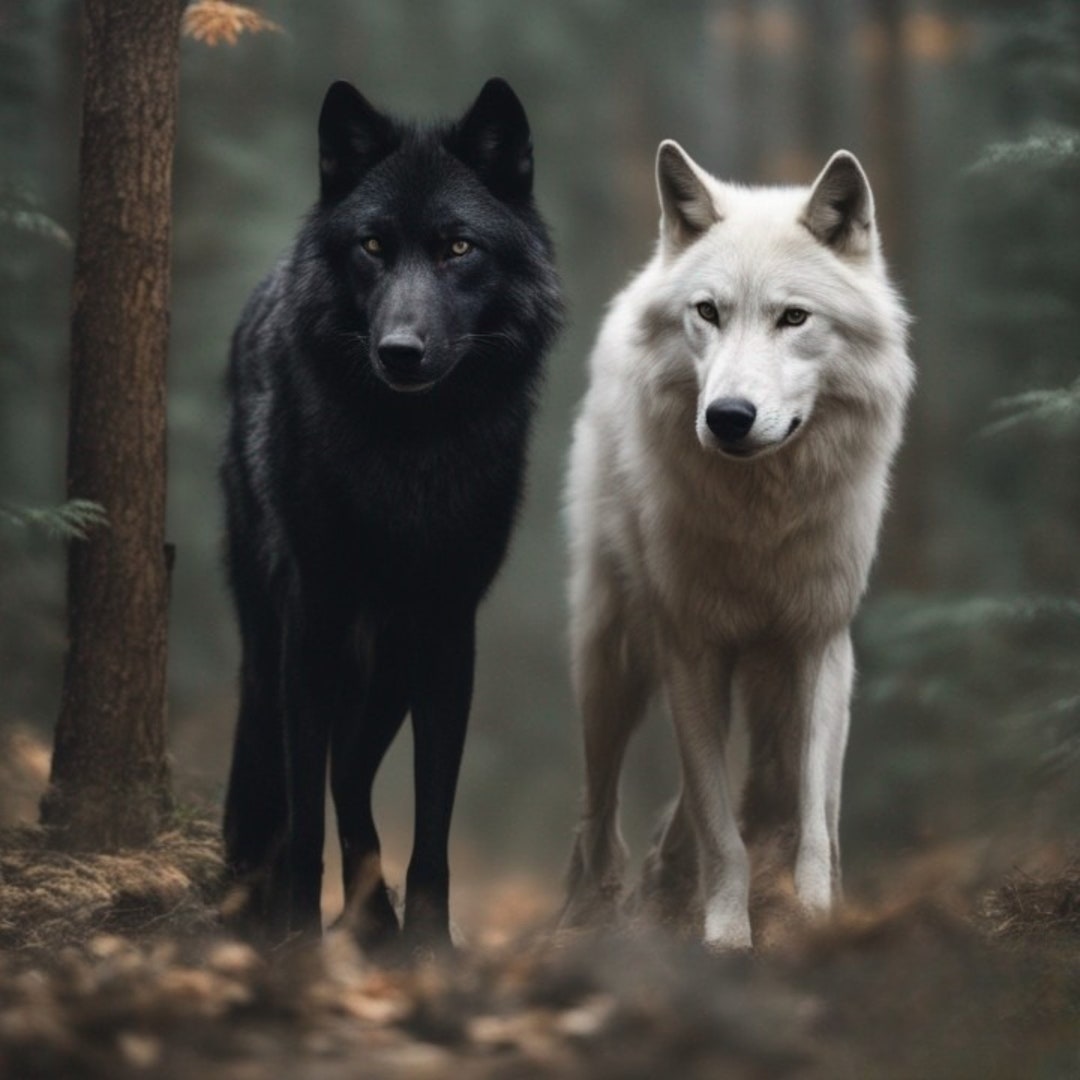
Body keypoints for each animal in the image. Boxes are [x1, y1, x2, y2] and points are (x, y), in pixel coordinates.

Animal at [220, 78, 562, 949]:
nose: (400, 351)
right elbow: (303, 807)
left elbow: (431, 820)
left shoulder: (446, 629)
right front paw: (296, 940)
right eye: (373, 245)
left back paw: (374, 919)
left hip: (388, 668)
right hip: (278, 636)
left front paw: (428, 946)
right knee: (290, 763)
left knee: (350, 771)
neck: (408, 459)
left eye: (458, 249)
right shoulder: (311, 620)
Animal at [560, 142, 913, 949]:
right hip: (612, 658)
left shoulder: (819, 644)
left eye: (793, 317)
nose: (727, 415)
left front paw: (813, 919)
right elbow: (720, 826)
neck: (762, 520)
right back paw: (592, 905)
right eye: (708, 312)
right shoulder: (690, 650)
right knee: (599, 804)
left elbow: (814, 816)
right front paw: (725, 938)